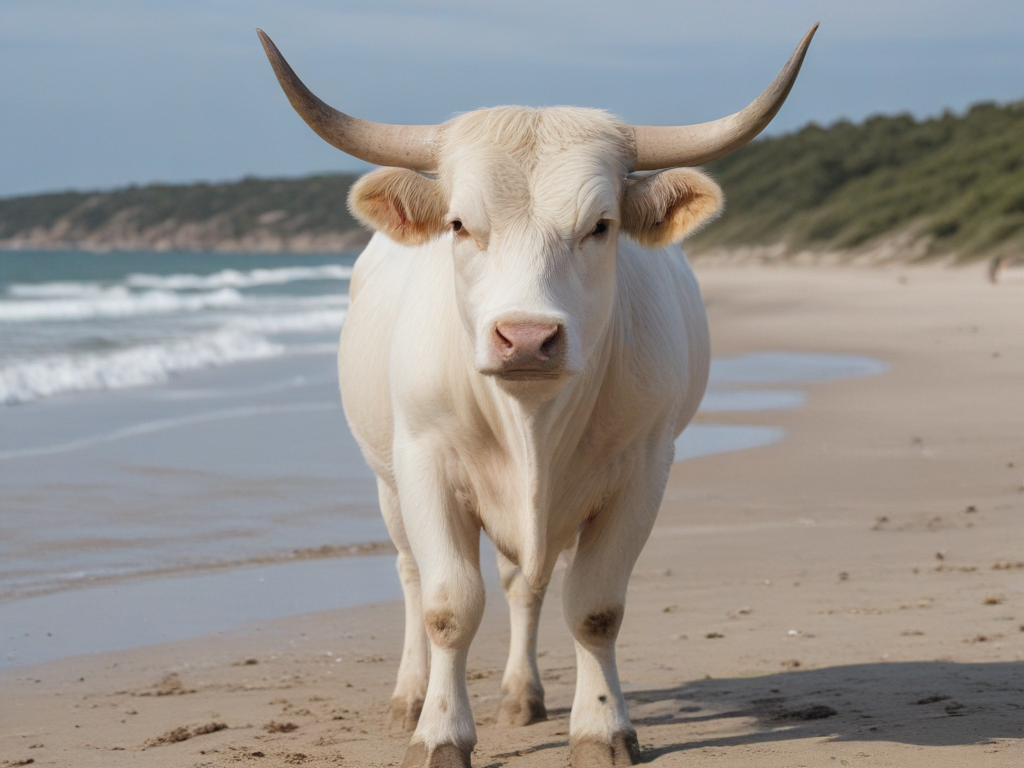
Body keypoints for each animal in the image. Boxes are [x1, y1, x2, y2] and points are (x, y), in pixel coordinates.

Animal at [259, 25, 816, 768]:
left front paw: (602, 727)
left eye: (601, 225)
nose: (525, 339)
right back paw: (409, 695)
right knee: (411, 576)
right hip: (387, 482)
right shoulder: (425, 463)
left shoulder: (641, 470)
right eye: (459, 224)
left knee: (527, 584)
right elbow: (447, 606)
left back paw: (522, 695)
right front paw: (439, 732)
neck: (532, 423)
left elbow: (595, 607)